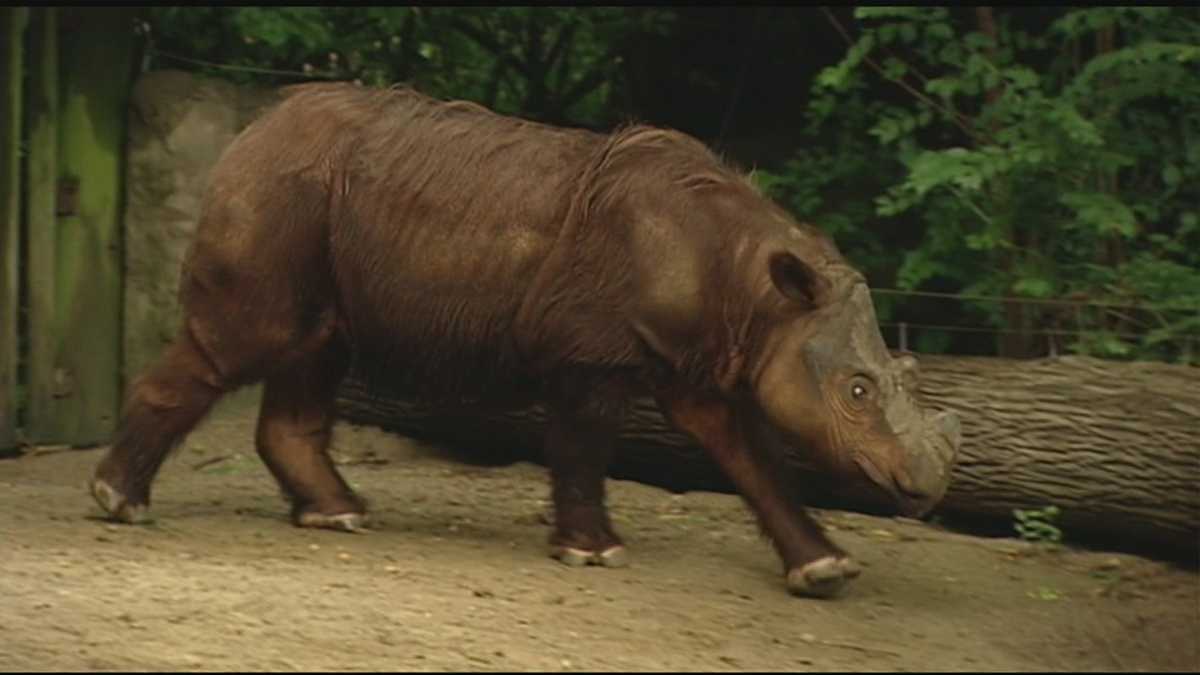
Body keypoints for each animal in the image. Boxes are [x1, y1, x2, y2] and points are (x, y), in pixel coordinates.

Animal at [91, 83, 960, 598]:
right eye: (857, 389)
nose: (923, 486)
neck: (754, 282)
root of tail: (250, 127)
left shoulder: (704, 356)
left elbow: (752, 457)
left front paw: (827, 567)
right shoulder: (592, 349)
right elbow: (583, 444)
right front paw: (594, 552)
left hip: (316, 205)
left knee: (317, 346)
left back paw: (339, 515)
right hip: (278, 191)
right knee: (248, 339)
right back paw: (119, 503)